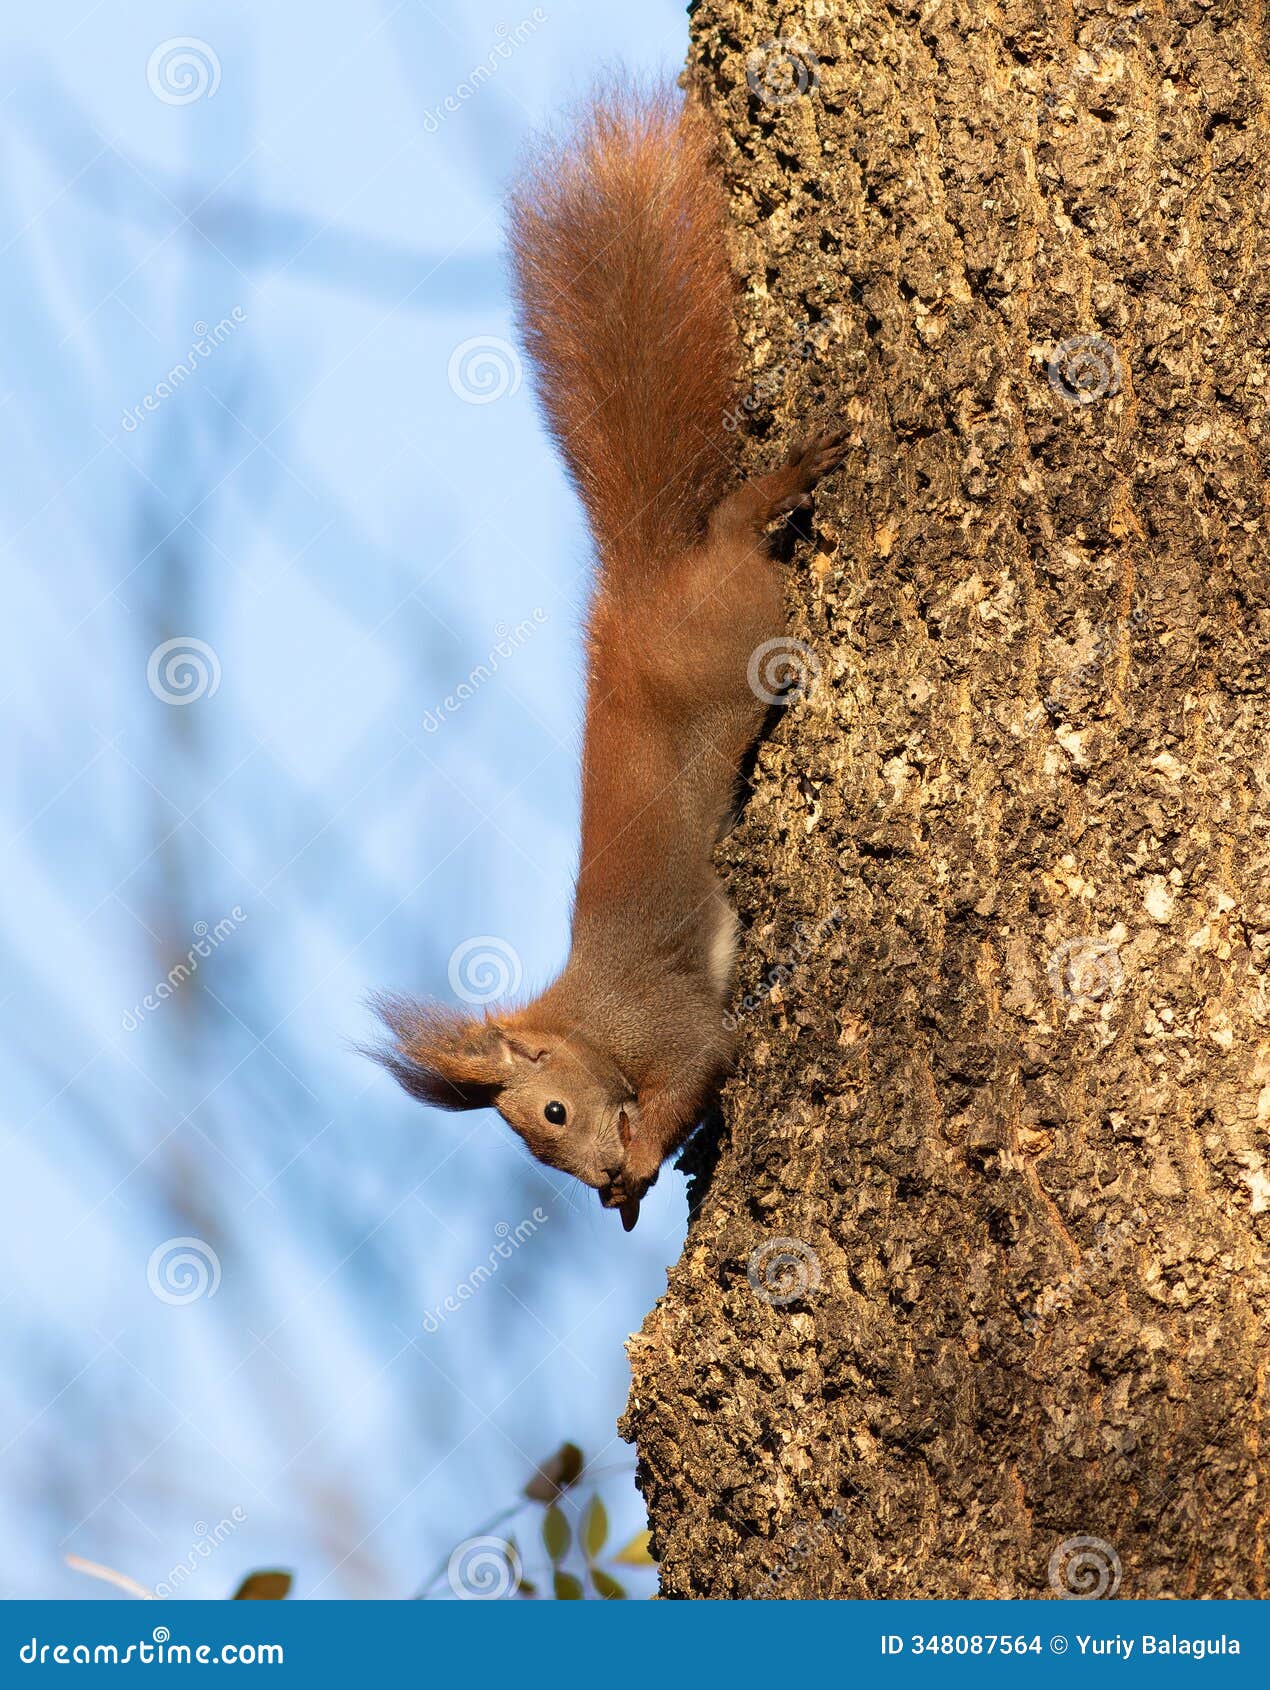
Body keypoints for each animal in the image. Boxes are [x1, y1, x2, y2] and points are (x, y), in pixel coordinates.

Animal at [373, 83, 848, 1230]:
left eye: (549, 1113)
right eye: (539, 1144)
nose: (591, 1178)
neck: (587, 1019)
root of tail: (643, 582)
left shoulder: (662, 1016)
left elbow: (704, 1057)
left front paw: (639, 1159)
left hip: (737, 635)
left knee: (744, 532)